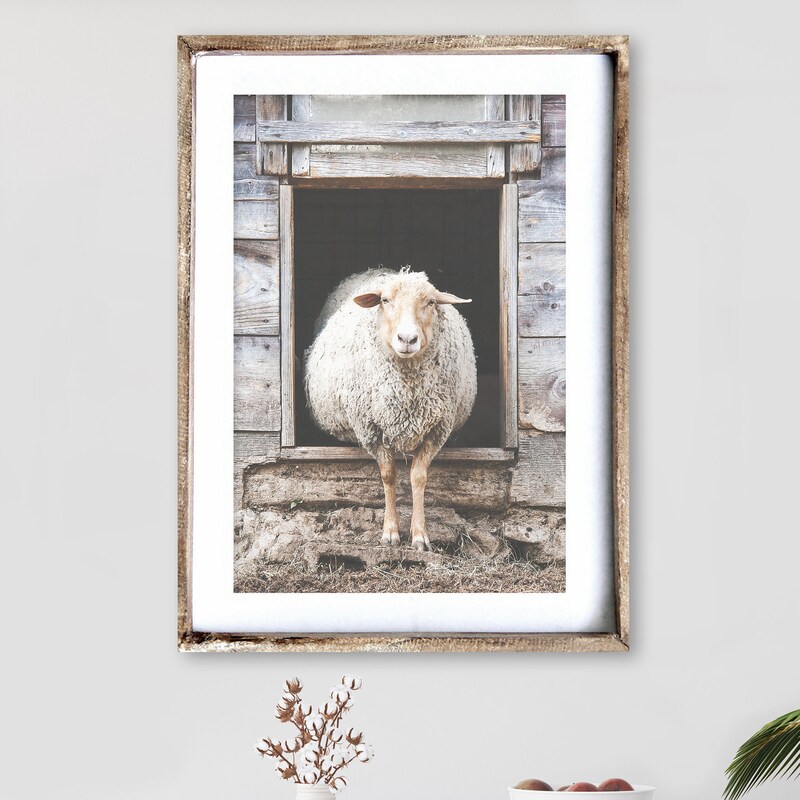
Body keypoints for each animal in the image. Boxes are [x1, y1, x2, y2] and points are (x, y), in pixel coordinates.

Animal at [304, 268, 477, 551]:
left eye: (430, 302)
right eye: (385, 301)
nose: (407, 339)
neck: (407, 392)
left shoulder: (438, 429)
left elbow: (418, 477)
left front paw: (419, 535)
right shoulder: (370, 428)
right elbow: (388, 475)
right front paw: (390, 531)